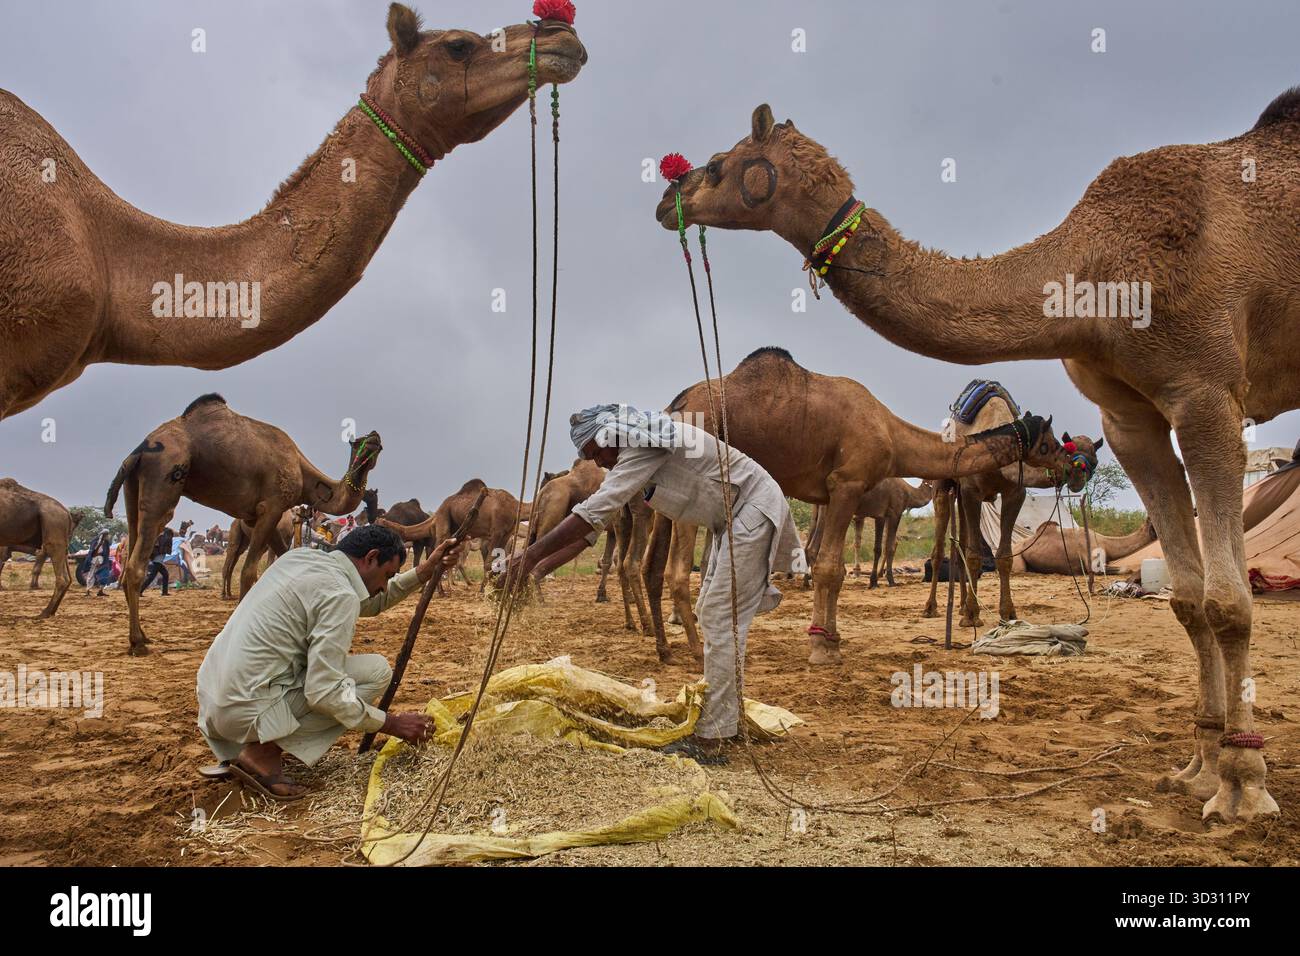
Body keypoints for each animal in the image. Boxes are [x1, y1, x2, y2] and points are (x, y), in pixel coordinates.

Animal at [0, 478, 78, 618]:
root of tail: (67, 513)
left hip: (53, 523)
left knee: (60, 575)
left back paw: (44, 612)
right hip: (60, 535)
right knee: (67, 576)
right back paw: (51, 611)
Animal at [104, 394, 382, 654]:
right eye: (358, 441)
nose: (375, 435)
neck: (302, 474)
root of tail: (137, 452)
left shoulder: (256, 516)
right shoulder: (271, 506)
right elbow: (250, 572)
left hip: (133, 491)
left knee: (131, 547)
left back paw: (142, 637)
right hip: (164, 480)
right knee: (137, 563)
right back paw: (138, 643)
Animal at [642, 348, 1068, 664]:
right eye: (1048, 443)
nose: (1068, 466)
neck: (890, 432)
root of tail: (674, 408)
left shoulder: (837, 494)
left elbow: (836, 568)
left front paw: (832, 637)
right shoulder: (846, 484)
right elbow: (829, 567)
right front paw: (822, 649)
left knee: (653, 565)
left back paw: (666, 650)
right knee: (678, 572)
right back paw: (697, 650)